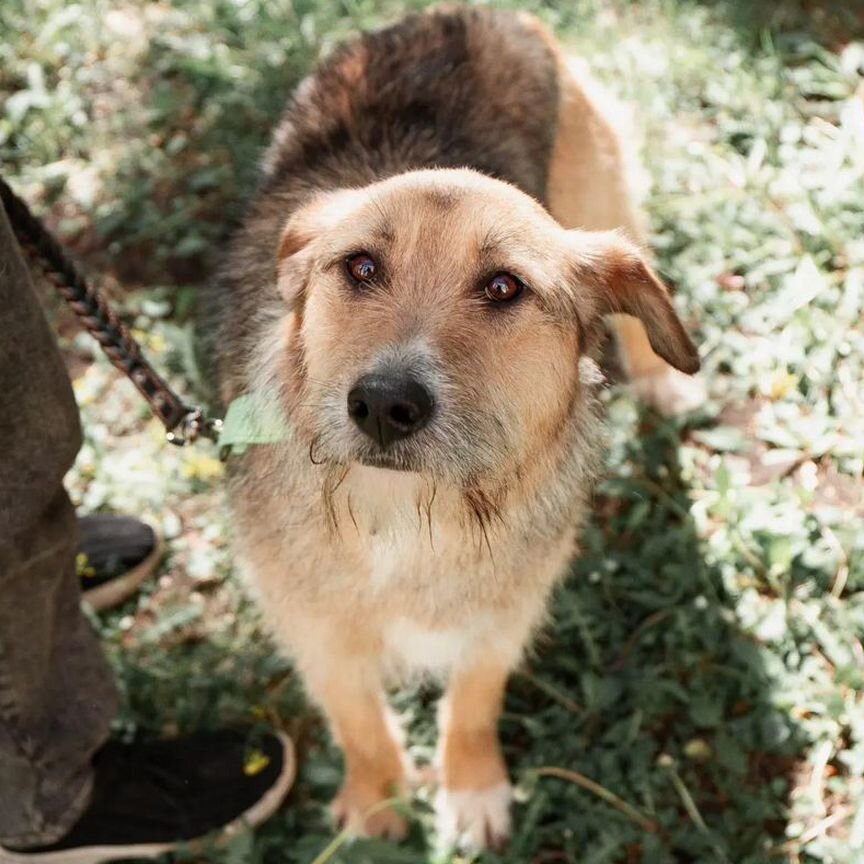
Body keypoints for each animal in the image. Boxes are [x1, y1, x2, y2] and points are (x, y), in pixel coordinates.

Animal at [202, 3, 704, 848]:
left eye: (504, 287)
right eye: (360, 267)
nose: (382, 403)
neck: (407, 514)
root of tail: (476, 14)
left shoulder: (504, 614)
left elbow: (473, 703)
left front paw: (471, 788)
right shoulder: (313, 626)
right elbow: (356, 716)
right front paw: (378, 796)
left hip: (603, 197)